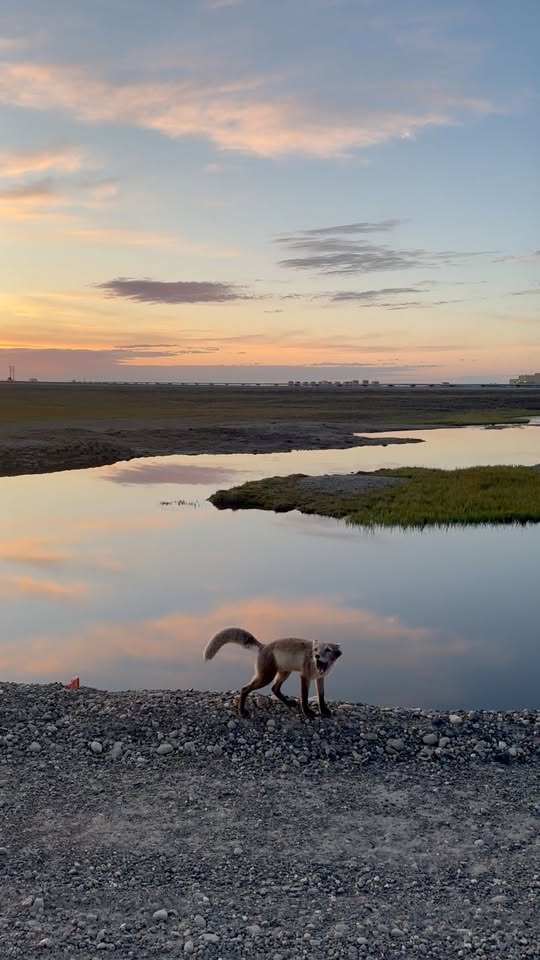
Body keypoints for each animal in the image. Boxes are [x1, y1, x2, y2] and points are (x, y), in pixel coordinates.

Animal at [203, 626, 342, 719]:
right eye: (315, 650)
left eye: (328, 650)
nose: (317, 656)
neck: (316, 668)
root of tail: (264, 646)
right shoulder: (305, 676)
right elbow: (304, 697)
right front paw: (307, 712)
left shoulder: (320, 678)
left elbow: (321, 697)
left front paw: (324, 711)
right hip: (266, 677)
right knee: (245, 689)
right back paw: (242, 712)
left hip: (284, 673)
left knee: (275, 689)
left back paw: (288, 703)